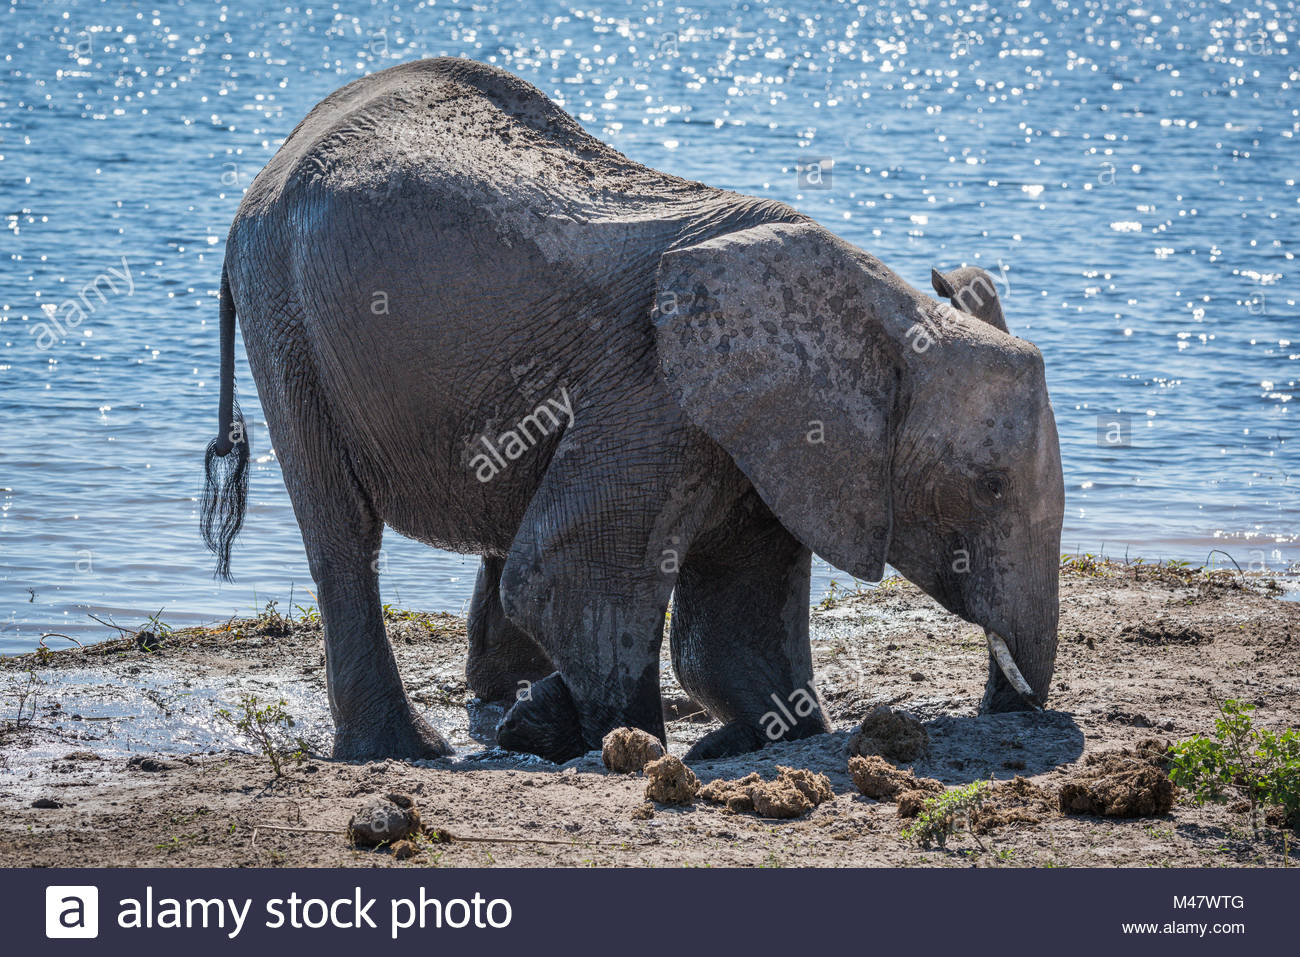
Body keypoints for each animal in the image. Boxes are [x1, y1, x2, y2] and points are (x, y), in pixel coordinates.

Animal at [201, 58, 1065, 764]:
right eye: (987, 486)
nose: (1005, 708)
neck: (888, 302)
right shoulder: (656, 391)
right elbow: (568, 575)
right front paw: (629, 741)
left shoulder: (765, 432)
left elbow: (736, 615)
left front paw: (752, 737)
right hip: (287, 322)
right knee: (346, 535)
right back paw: (411, 749)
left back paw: (497, 710)